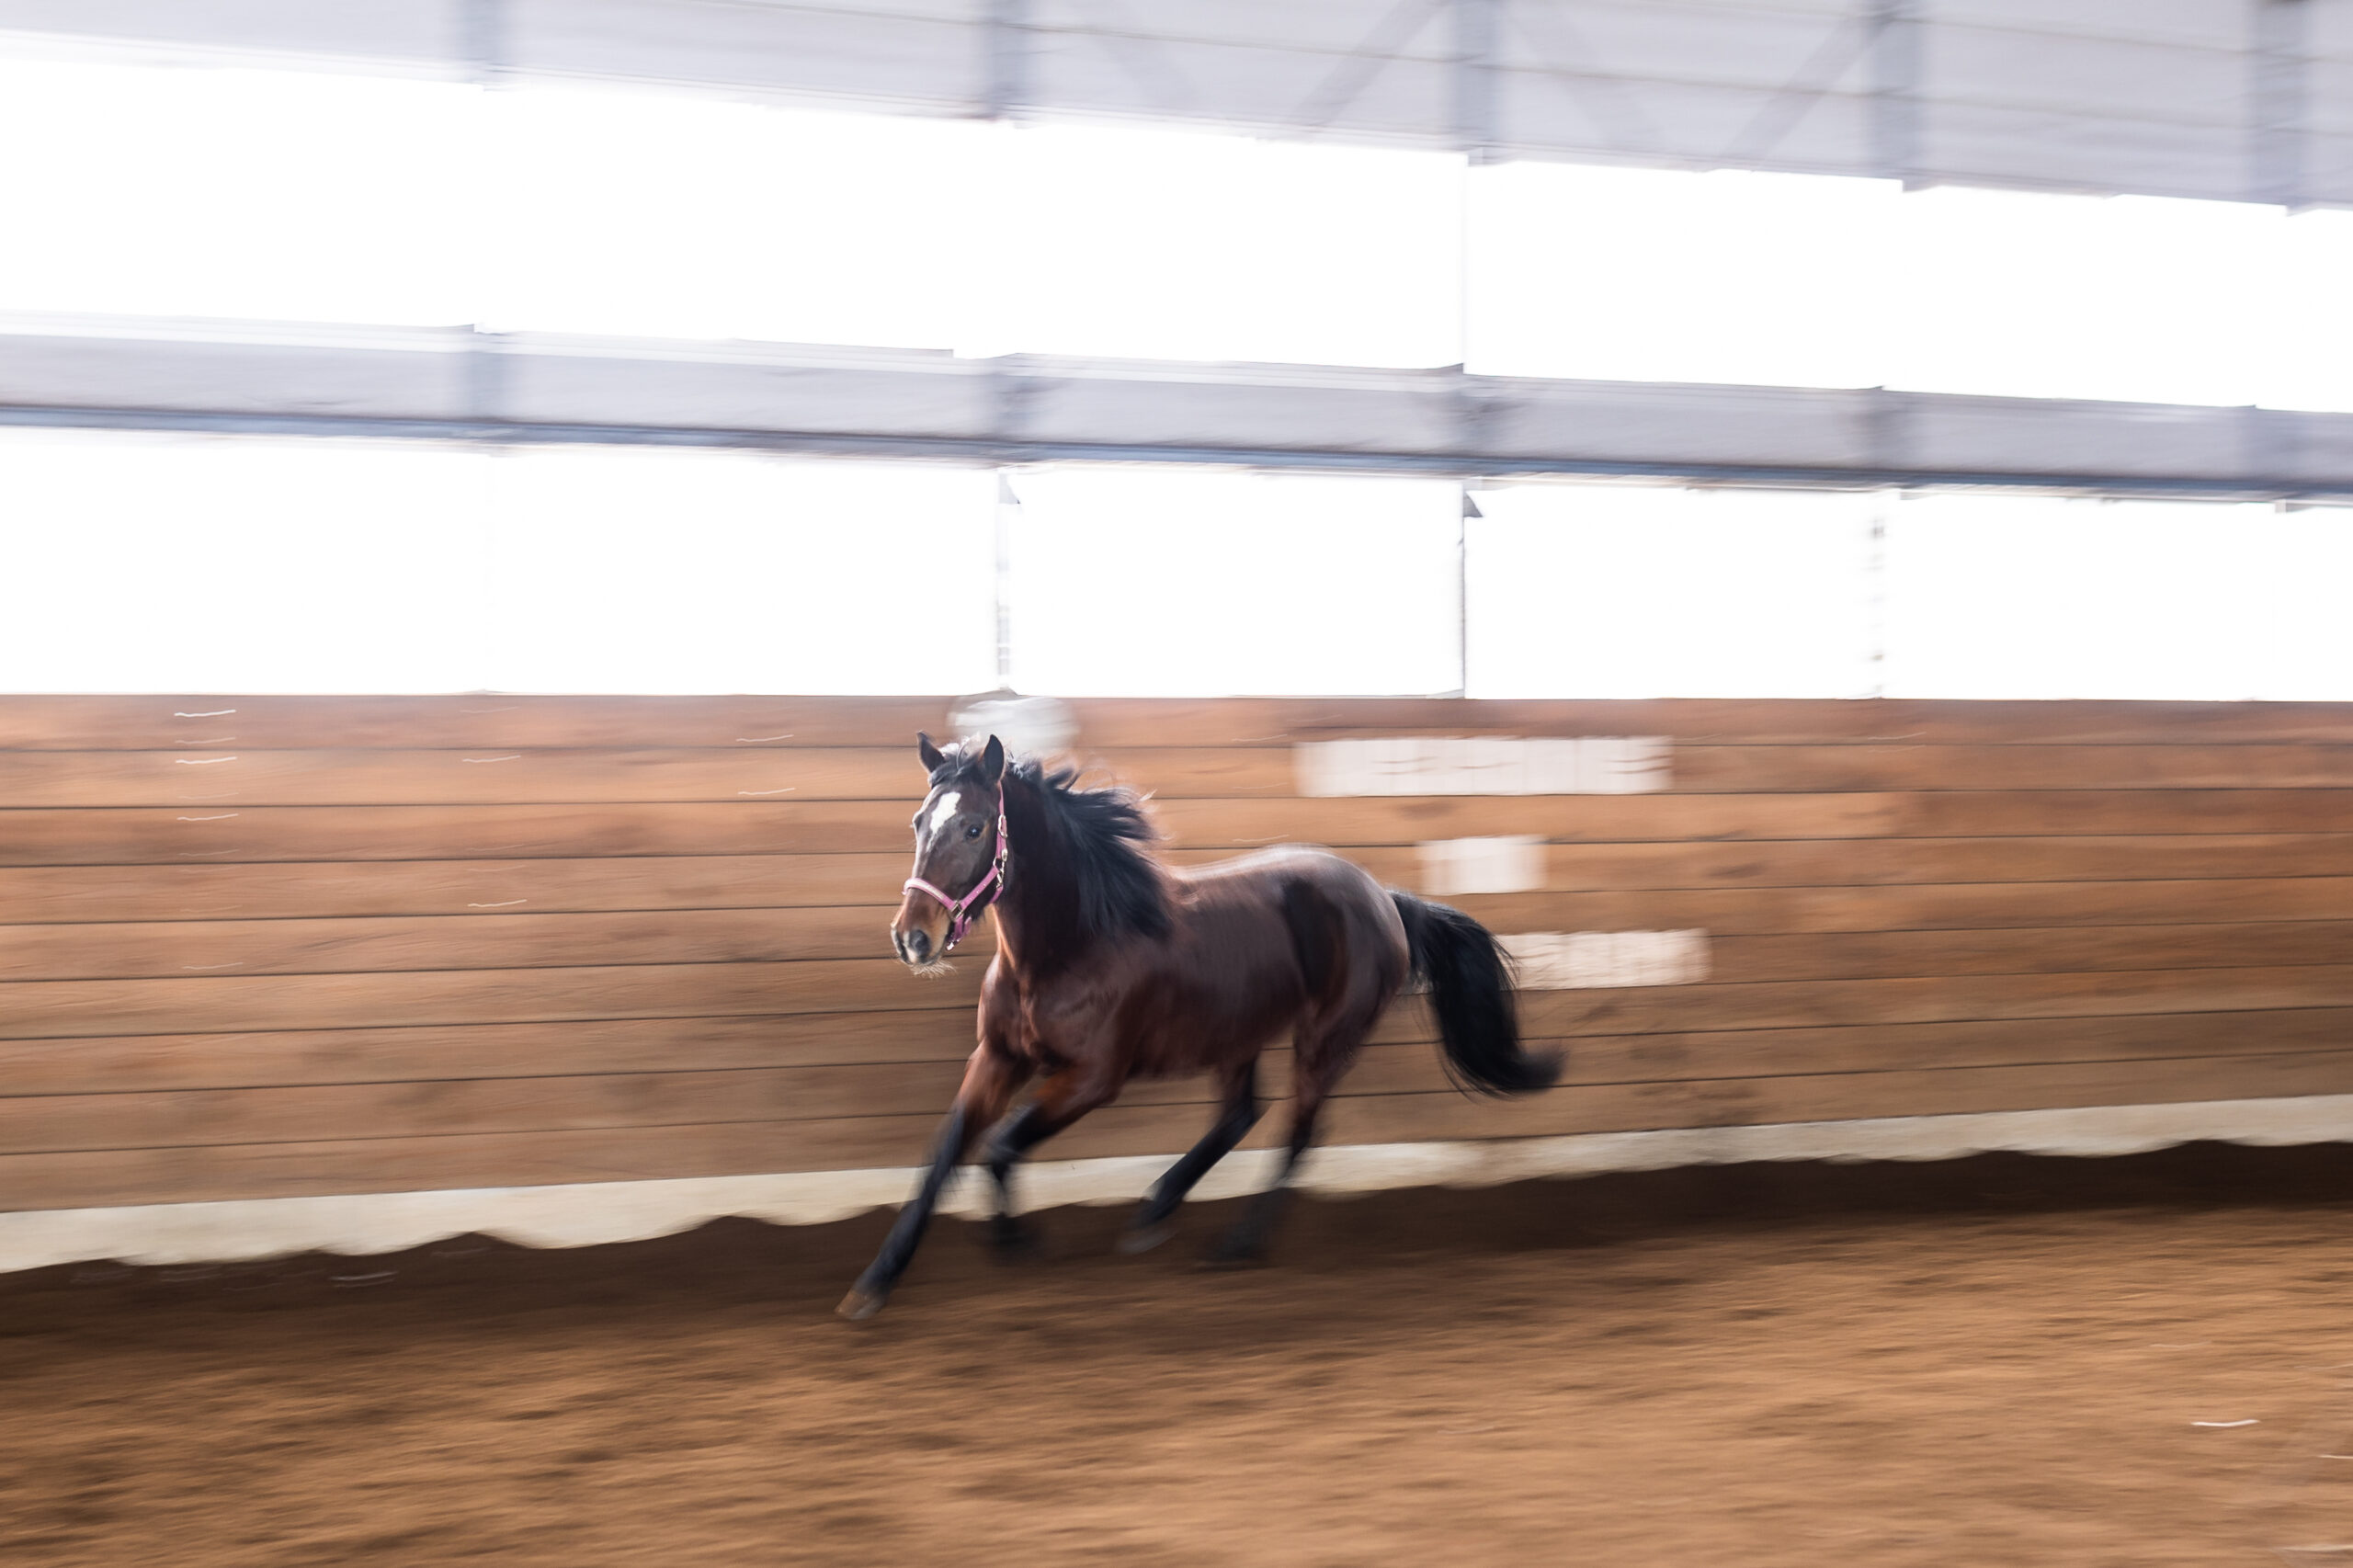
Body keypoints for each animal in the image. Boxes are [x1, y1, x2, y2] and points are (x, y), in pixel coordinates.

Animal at [838, 732, 1561, 1320]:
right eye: (918, 820)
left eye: (974, 827)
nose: (913, 939)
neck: (1067, 946)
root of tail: (1383, 896)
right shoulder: (997, 1057)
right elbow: (944, 1155)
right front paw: (873, 1285)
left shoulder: (1093, 1079)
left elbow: (1001, 1146)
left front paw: (1016, 1241)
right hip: (1238, 1031)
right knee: (1241, 1114)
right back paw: (1156, 1210)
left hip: (1326, 1037)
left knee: (1299, 1130)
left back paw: (1235, 1242)